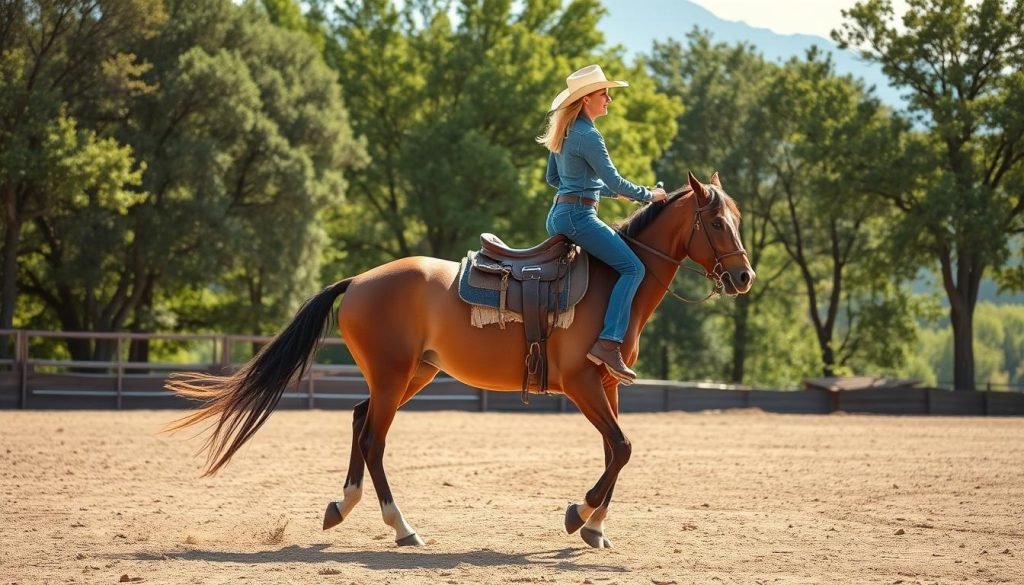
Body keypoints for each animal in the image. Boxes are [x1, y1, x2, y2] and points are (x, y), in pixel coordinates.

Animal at [166, 171, 755, 548]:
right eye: (717, 223)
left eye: (737, 218)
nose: (743, 276)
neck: (617, 281)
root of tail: (358, 280)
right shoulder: (582, 385)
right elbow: (623, 447)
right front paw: (578, 515)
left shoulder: (608, 386)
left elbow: (617, 451)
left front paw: (594, 526)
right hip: (394, 375)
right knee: (373, 437)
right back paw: (401, 526)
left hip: (414, 373)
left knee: (358, 420)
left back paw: (342, 507)